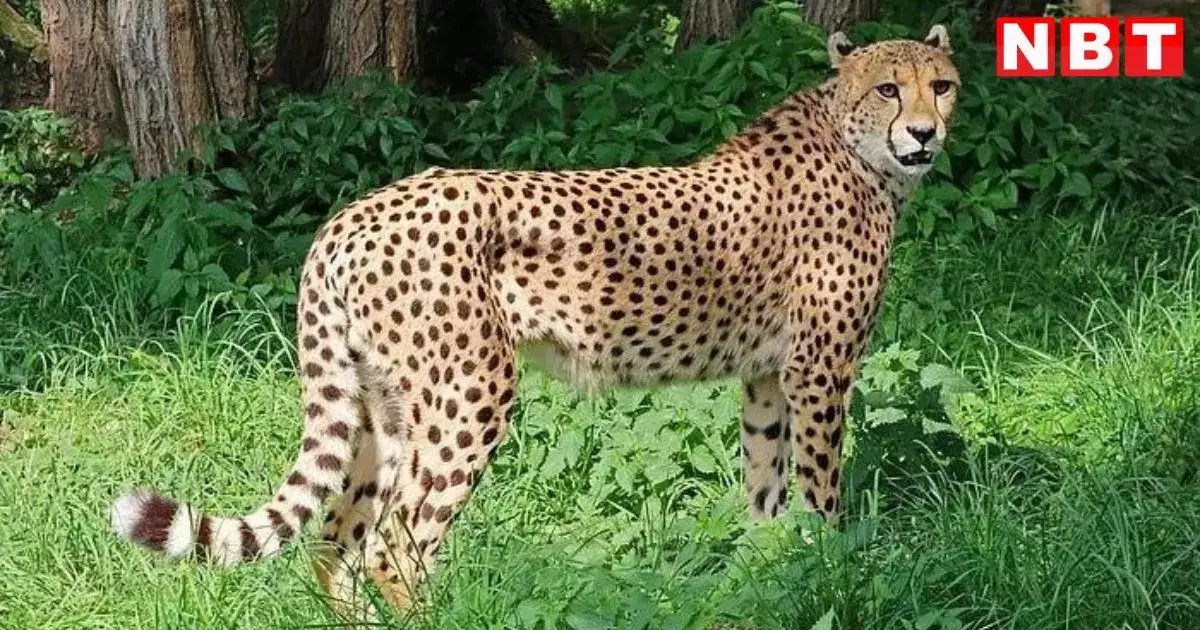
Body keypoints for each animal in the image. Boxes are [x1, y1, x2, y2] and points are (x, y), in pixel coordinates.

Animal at [109, 24, 961, 619]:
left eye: (943, 86)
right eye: (889, 90)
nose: (926, 132)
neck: (859, 150)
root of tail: (352, 214)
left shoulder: (765, 377)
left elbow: (767, 489)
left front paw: (767, 575)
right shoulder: (819, 371)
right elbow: (822, 494)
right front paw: (836, 572)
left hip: (383, 406)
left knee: (336, 537)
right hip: (470, 390)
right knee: (397, 541)